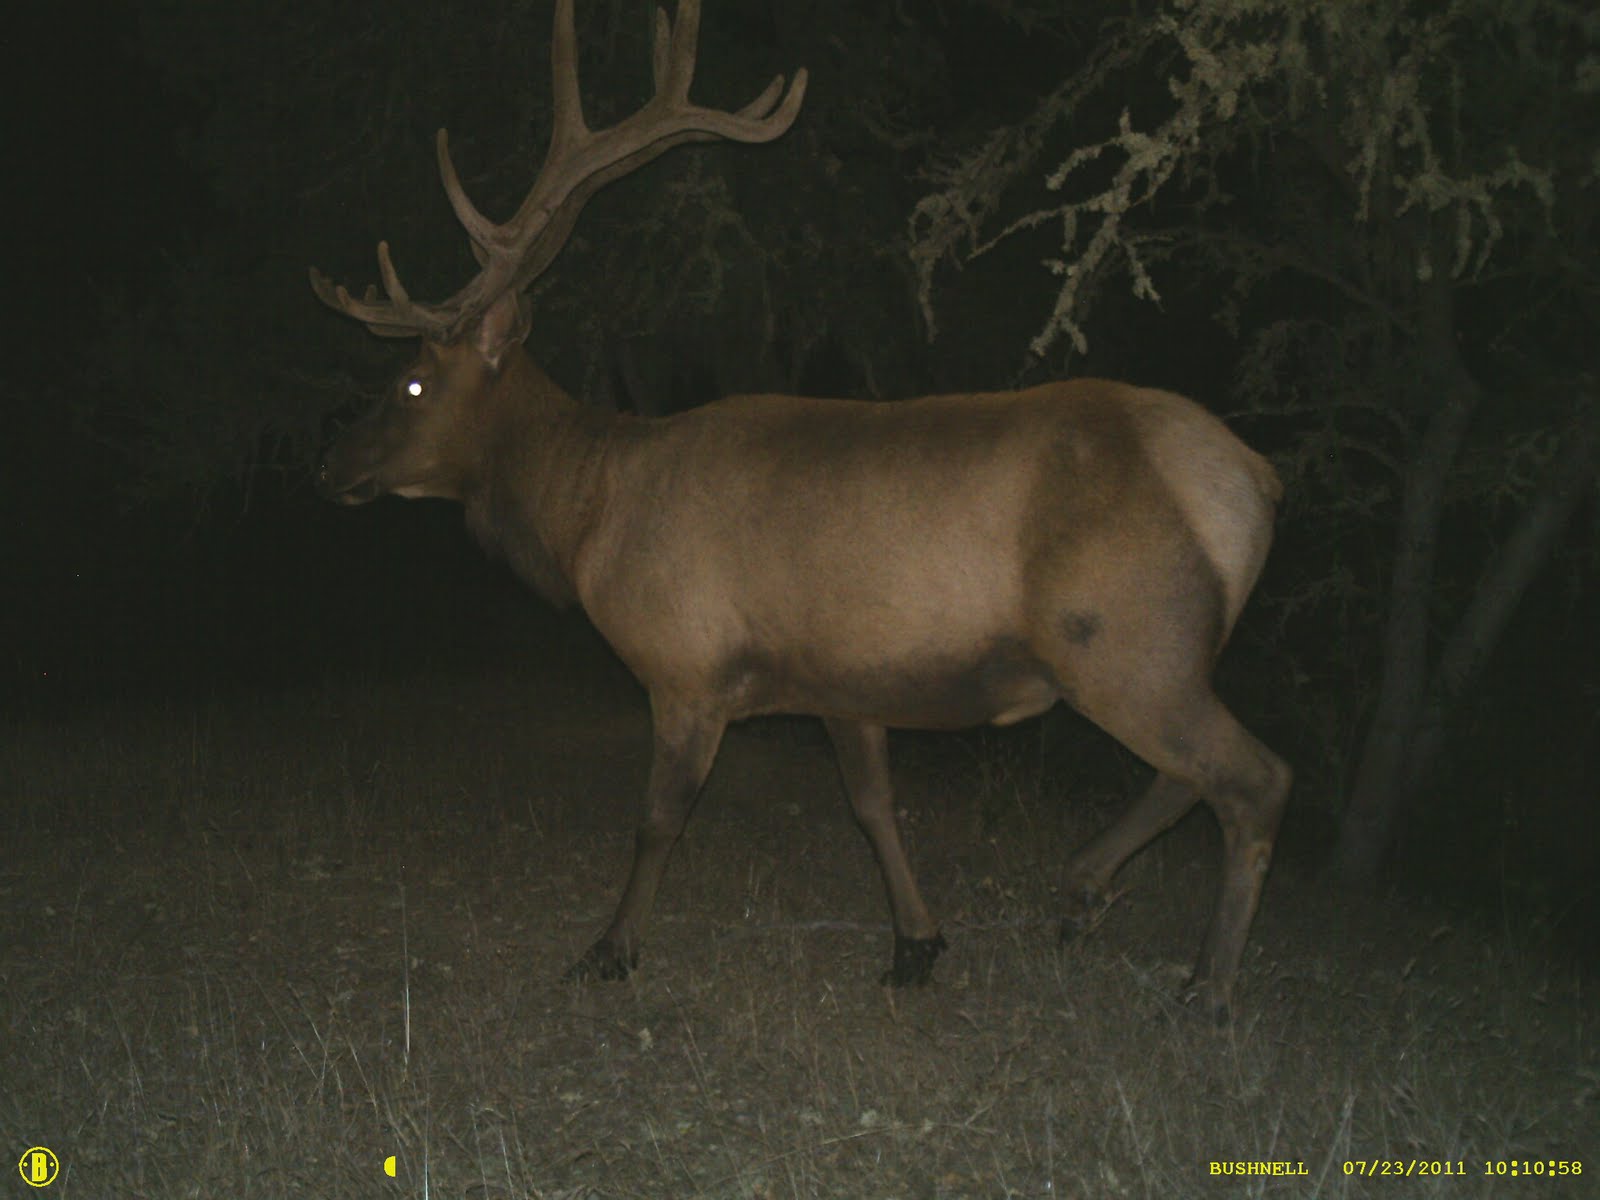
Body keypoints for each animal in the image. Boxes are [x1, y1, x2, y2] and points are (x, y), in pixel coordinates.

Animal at [311, 0, 1291, 1022]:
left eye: (412, 383)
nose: (329, 463)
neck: (586, 518)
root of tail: (1255, 481)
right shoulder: (843, 679)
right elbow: (873, 806)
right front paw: (917, 944)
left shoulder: (687, 663)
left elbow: (657, 819)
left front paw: (610, 949)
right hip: (1144, 653)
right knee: (1196, 774)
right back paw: (1085, 887)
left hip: (1122, 637)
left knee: (1256, 779)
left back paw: (1206, 985)